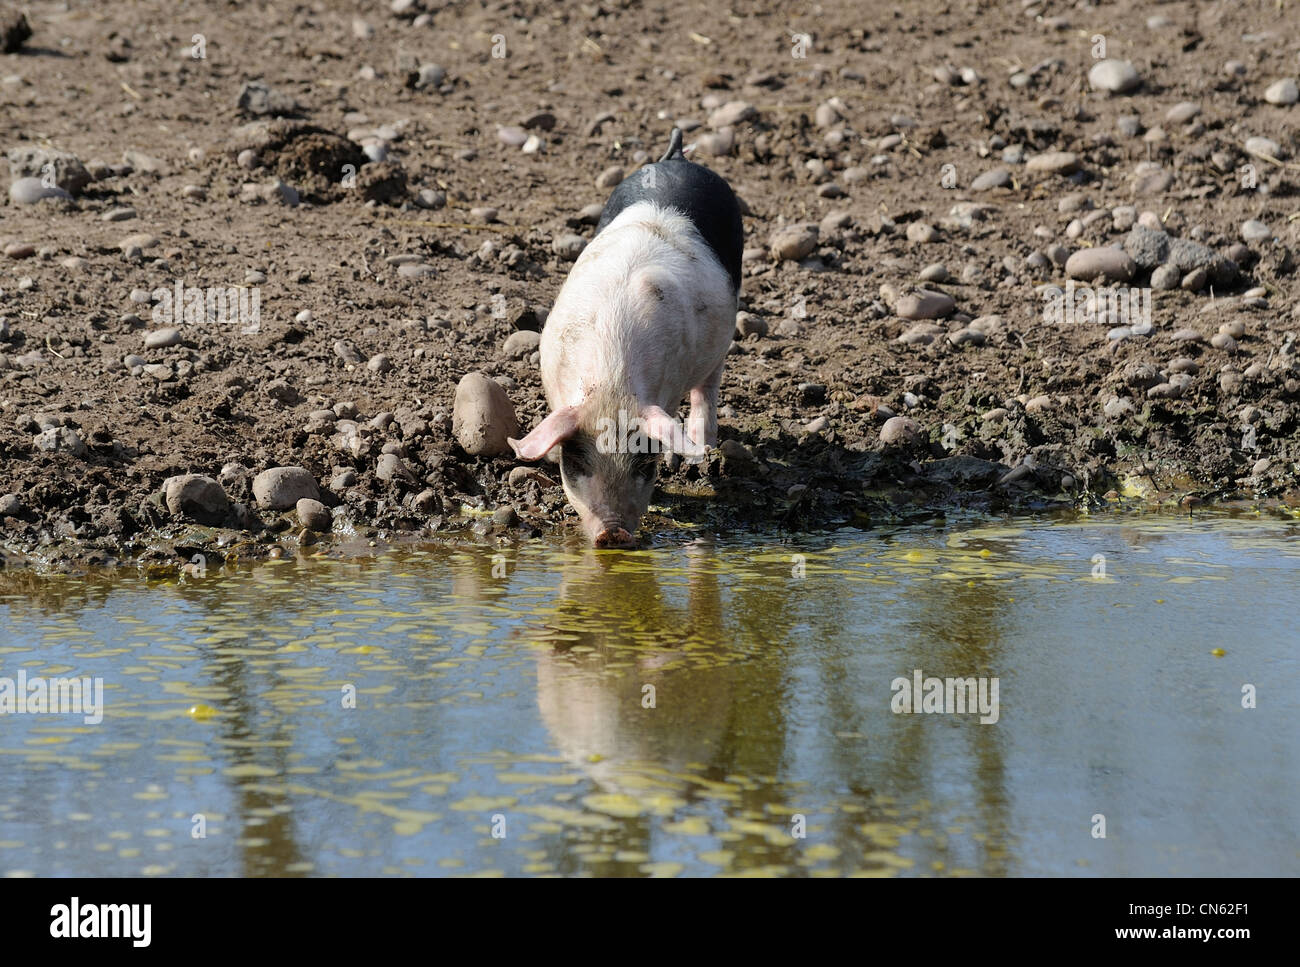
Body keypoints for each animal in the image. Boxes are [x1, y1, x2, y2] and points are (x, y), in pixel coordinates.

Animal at [508, 128, 743, 548]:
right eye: (577, 464)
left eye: (644, 464)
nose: (613, 533)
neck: (610, 381)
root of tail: (677, 159)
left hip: (722, 337)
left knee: (707, 390)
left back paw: (699, 453)